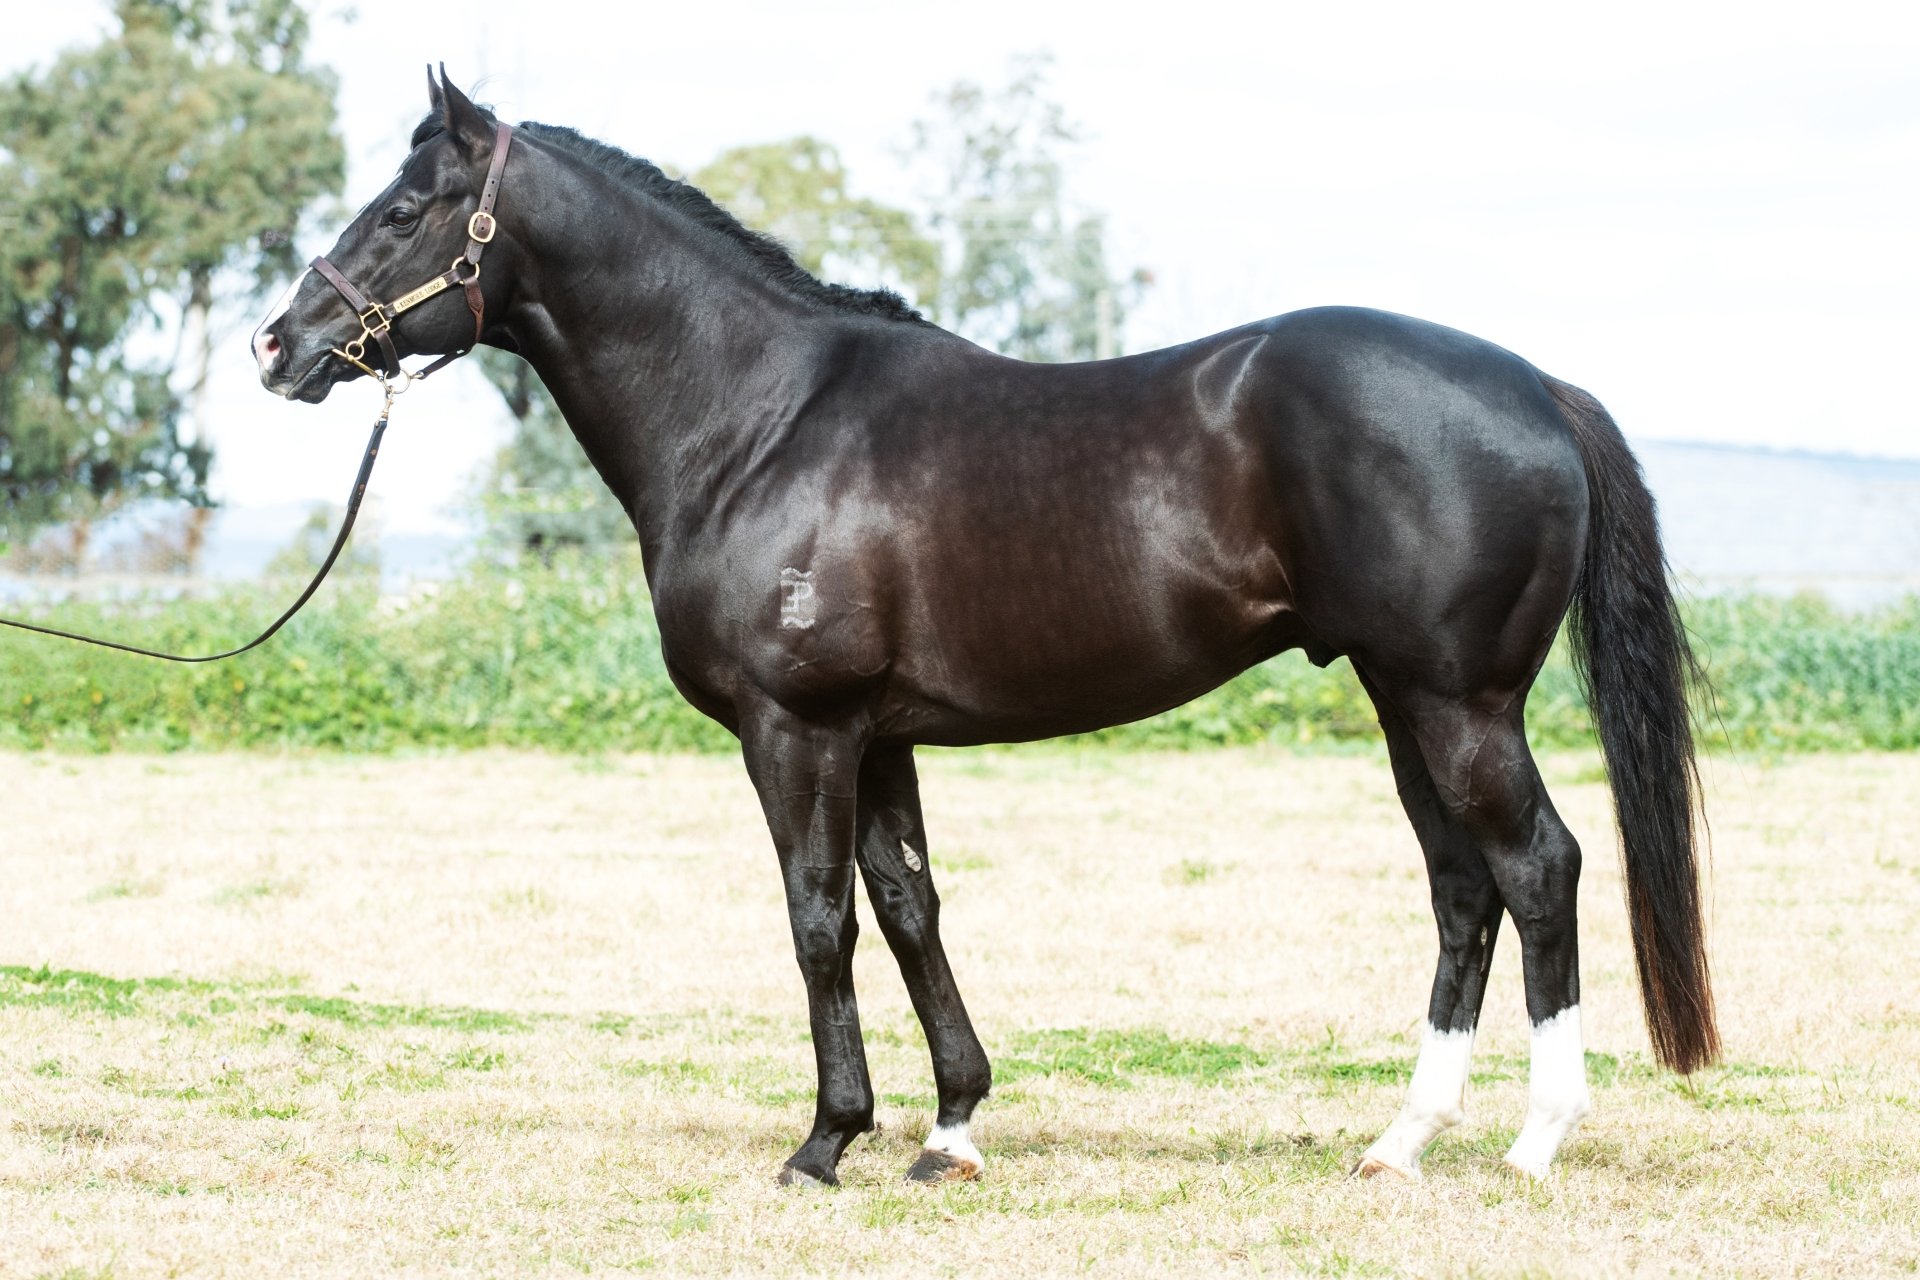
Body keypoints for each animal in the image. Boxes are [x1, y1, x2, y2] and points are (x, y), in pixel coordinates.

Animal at [253, 69, 1717, 1187]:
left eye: (403, 209)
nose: (280, 345)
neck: (759, 418)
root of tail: (1537, 387)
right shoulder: (877, 734)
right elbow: (911, 907)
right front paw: (949, 1127)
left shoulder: (797, 729)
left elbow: (821, 919)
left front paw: (825, 1141)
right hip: (1400, 697)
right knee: (1464, 888)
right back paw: (1401, 1140)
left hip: (1456, 703)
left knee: (1539, 868)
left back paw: (1533, 1141)